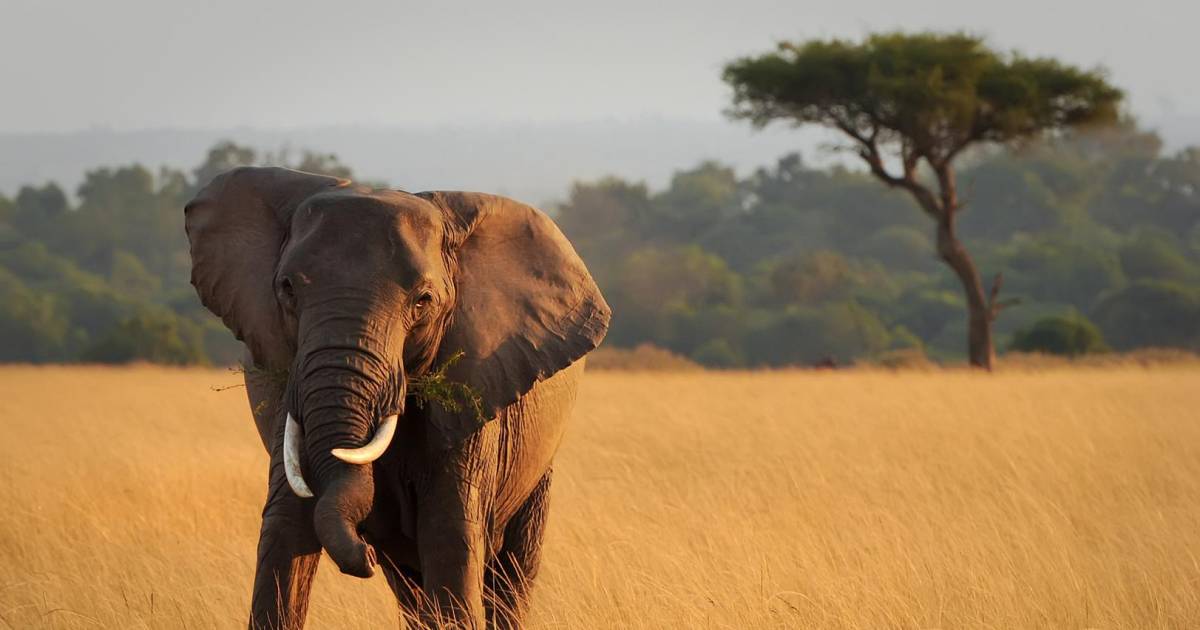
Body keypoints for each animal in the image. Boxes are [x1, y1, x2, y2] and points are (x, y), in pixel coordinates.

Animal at [183, 167, 610, 629]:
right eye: (288, 289)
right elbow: (286, 529)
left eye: (423, 301)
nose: (365, 554)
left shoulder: (475, 388)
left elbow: (449, 535)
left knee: (510, 574)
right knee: (409, 586)